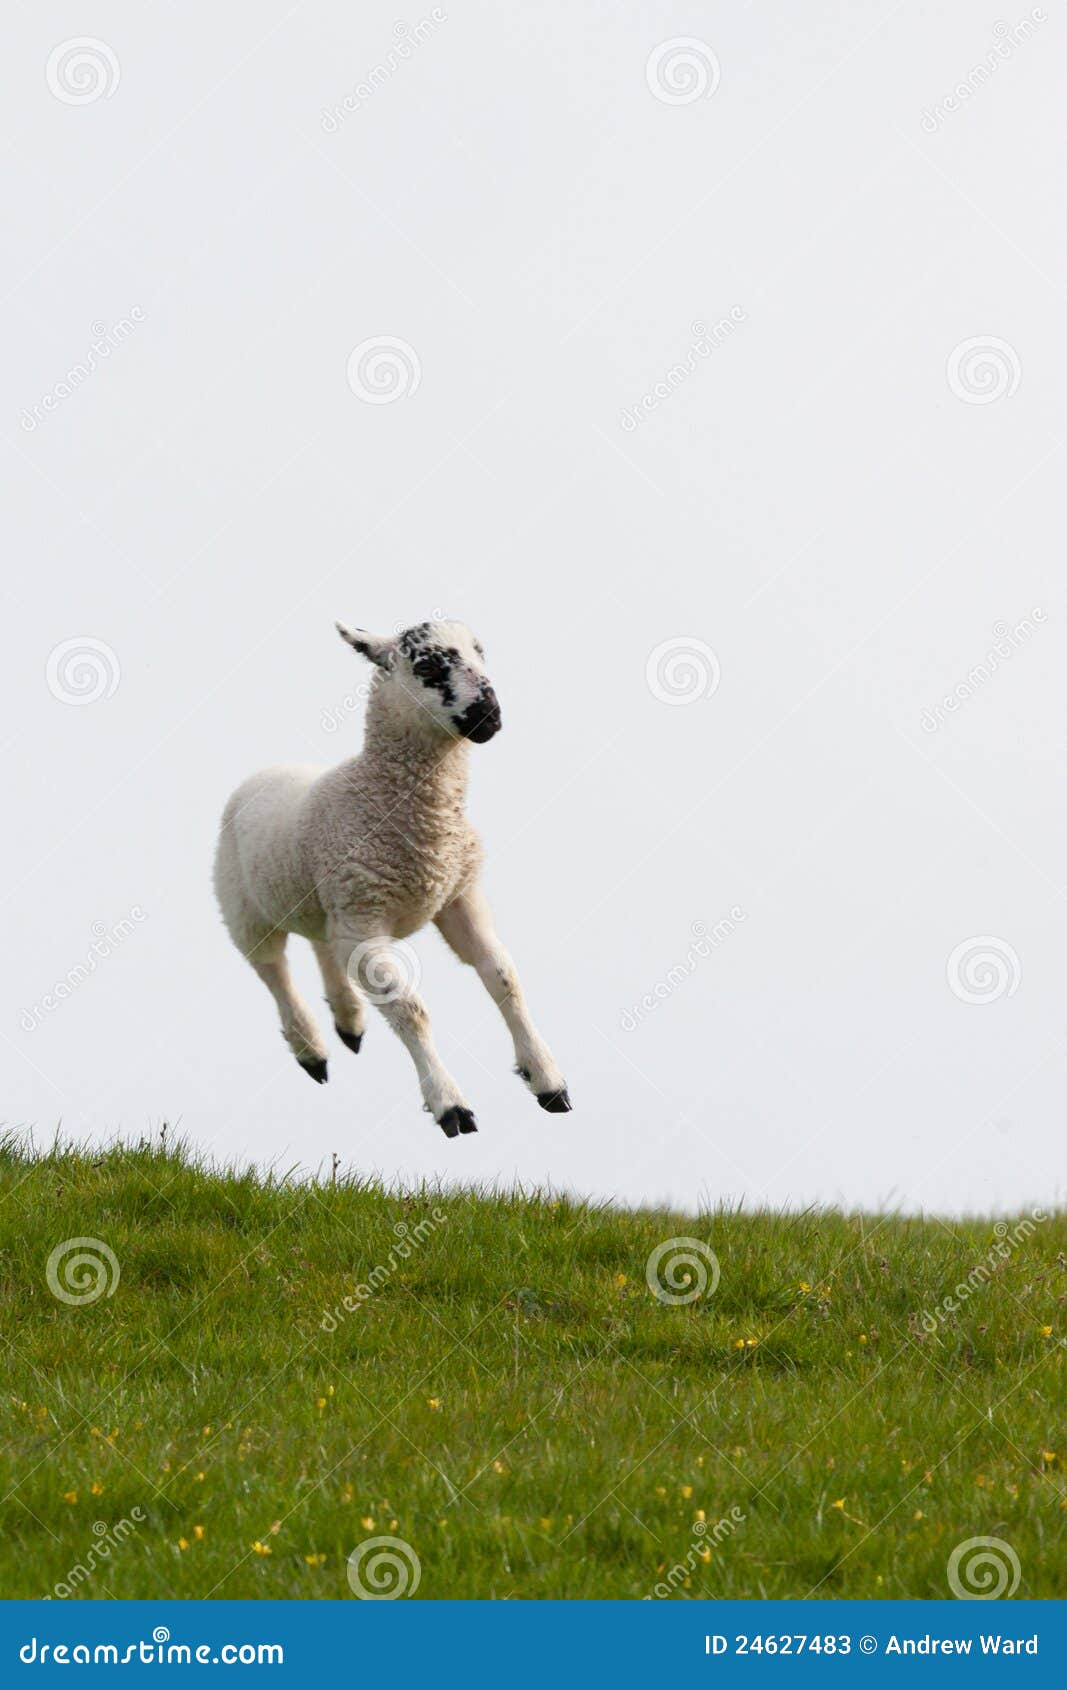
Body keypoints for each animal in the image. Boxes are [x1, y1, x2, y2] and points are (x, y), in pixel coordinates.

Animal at [212, 618, 571, 1138]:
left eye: (480, 652)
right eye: (427, 665)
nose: (490, 715)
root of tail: (273, 766)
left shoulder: (459, 897)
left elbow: (504, 979)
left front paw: (547, 1079)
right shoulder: (366, 920)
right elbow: (412, 1011)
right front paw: (450, 1105)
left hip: (329, 903)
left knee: (323, 947)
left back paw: (349, 1022)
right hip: (245, 907)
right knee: (273, 970)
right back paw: (311, 1050)